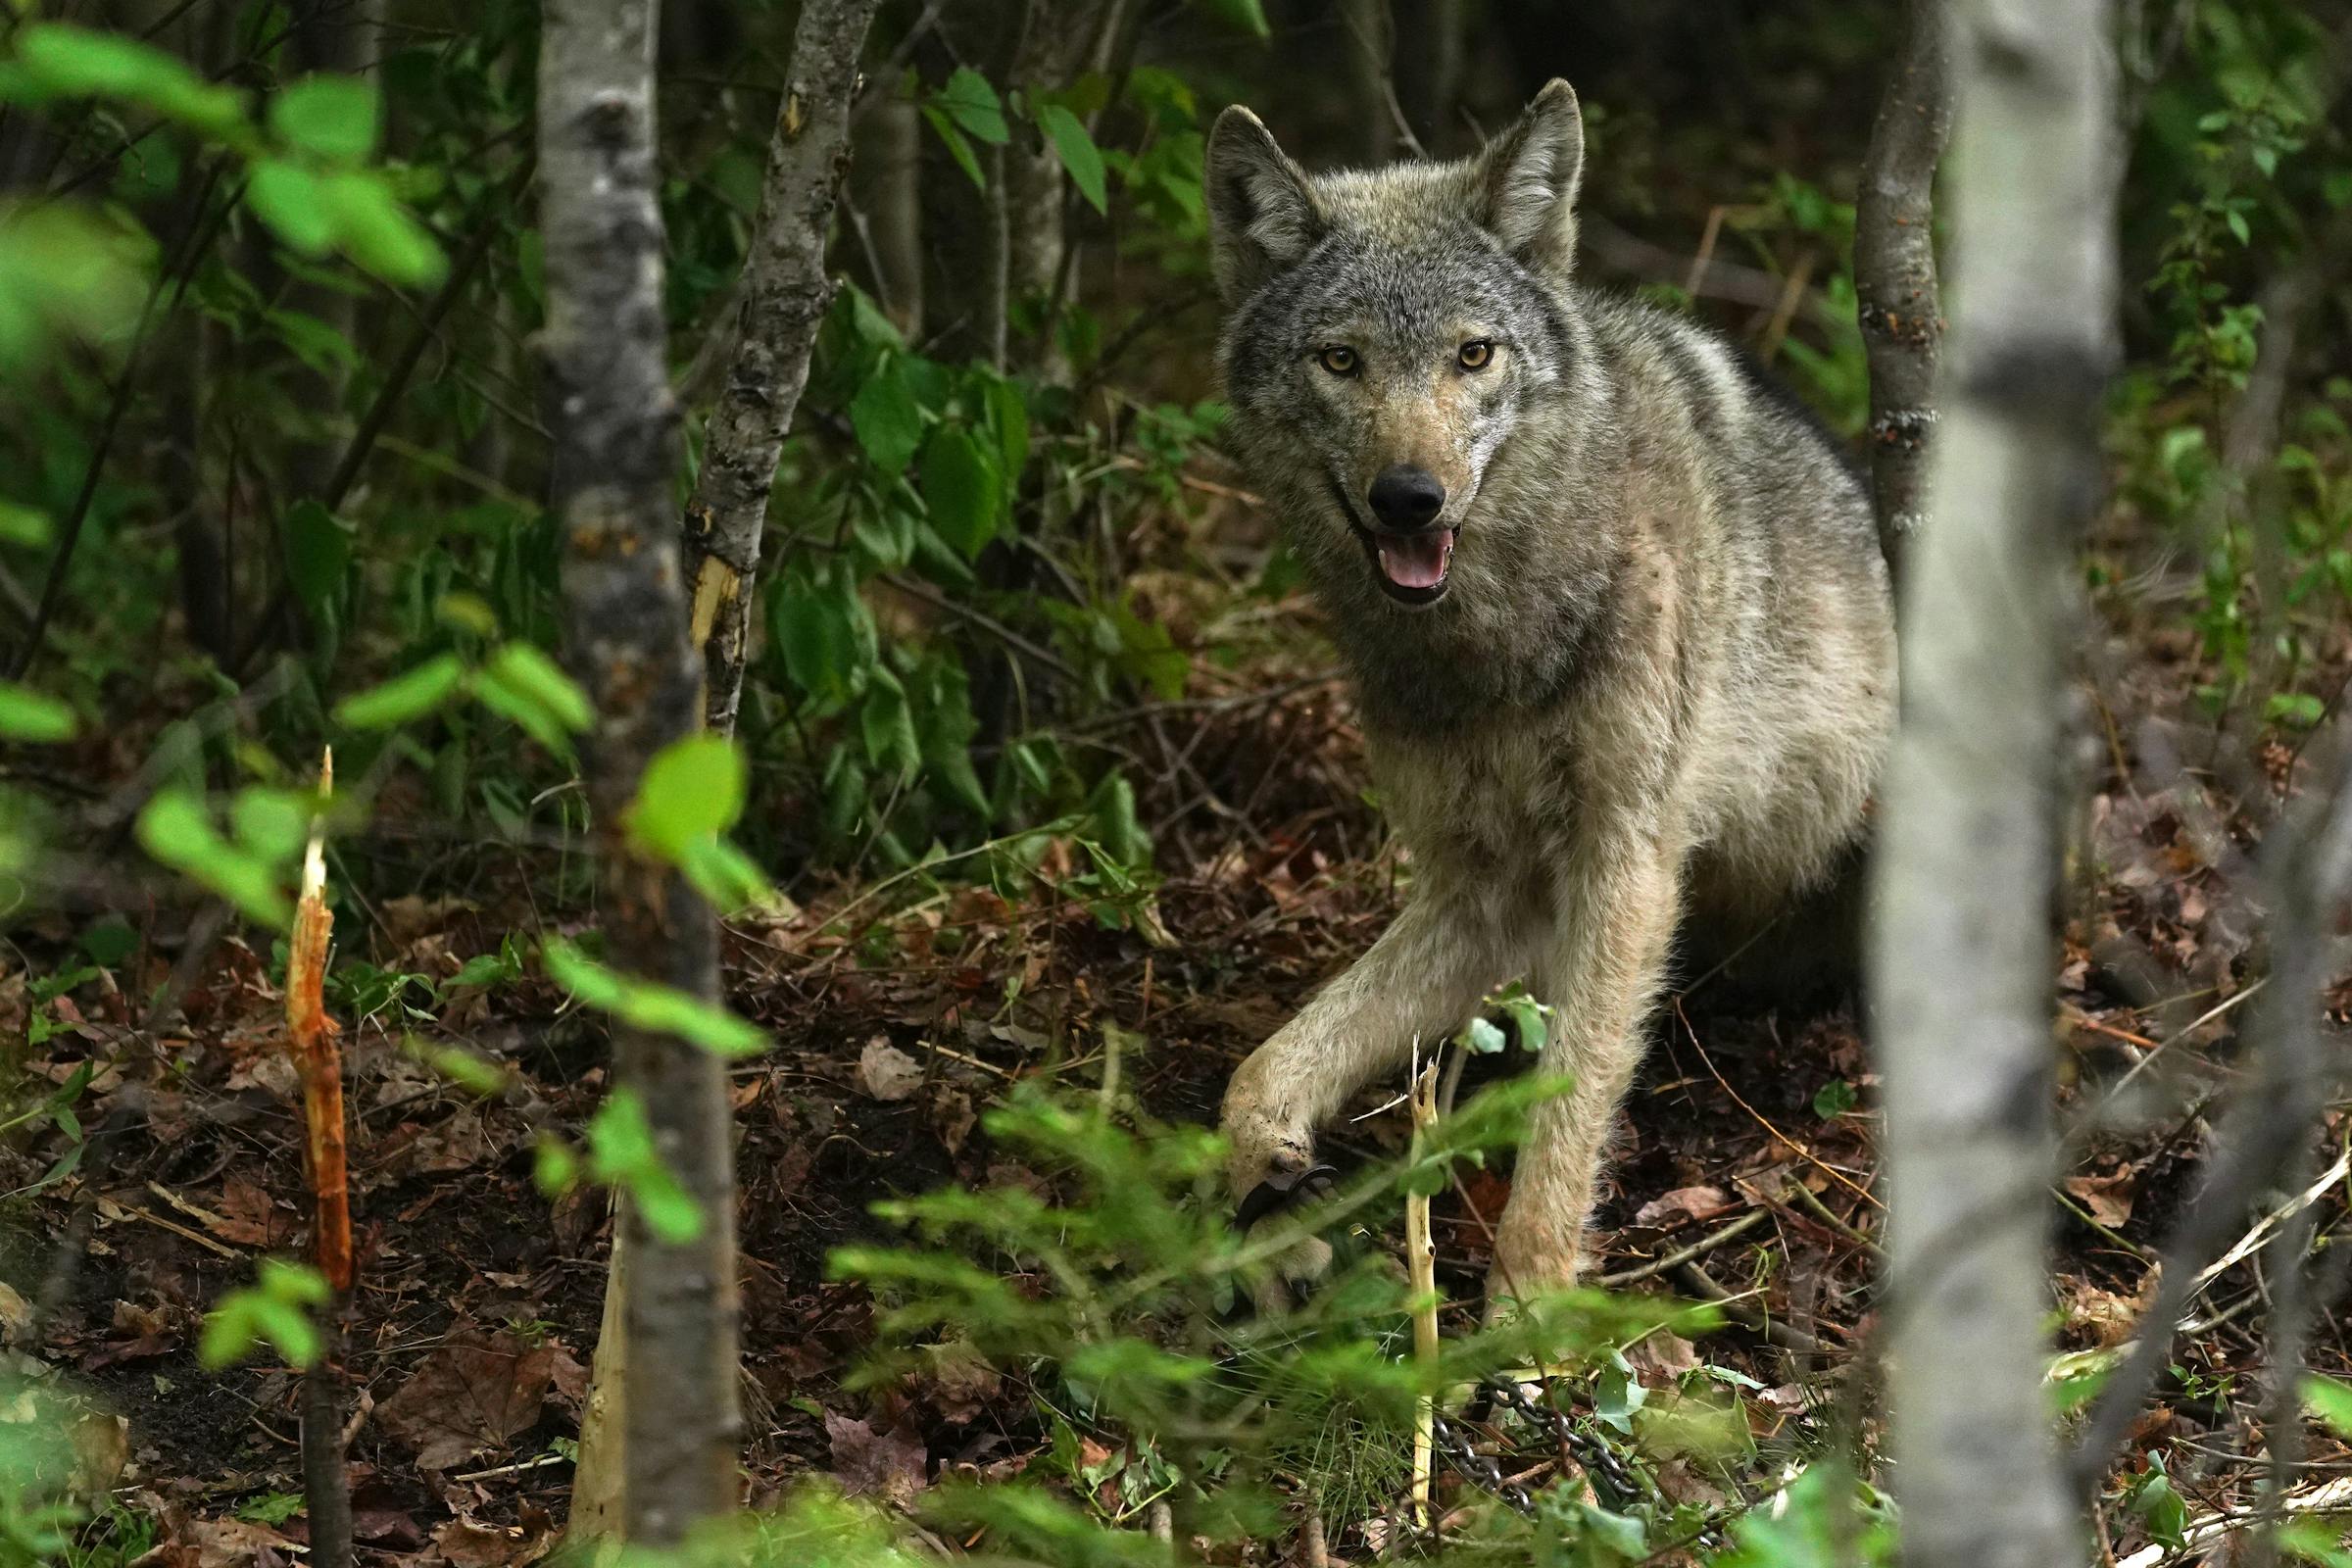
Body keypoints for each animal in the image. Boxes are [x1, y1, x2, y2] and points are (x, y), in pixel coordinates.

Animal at [1206, 80, 1897, 1310]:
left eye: (1473, 354)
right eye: (1340, 360)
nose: (1410, 497)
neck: (1494, 643)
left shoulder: (1625, 861)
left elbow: (1566, 1114)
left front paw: (1526, 1310)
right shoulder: (1481, 891)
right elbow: (1260, 1071)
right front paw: (1271, 1188)